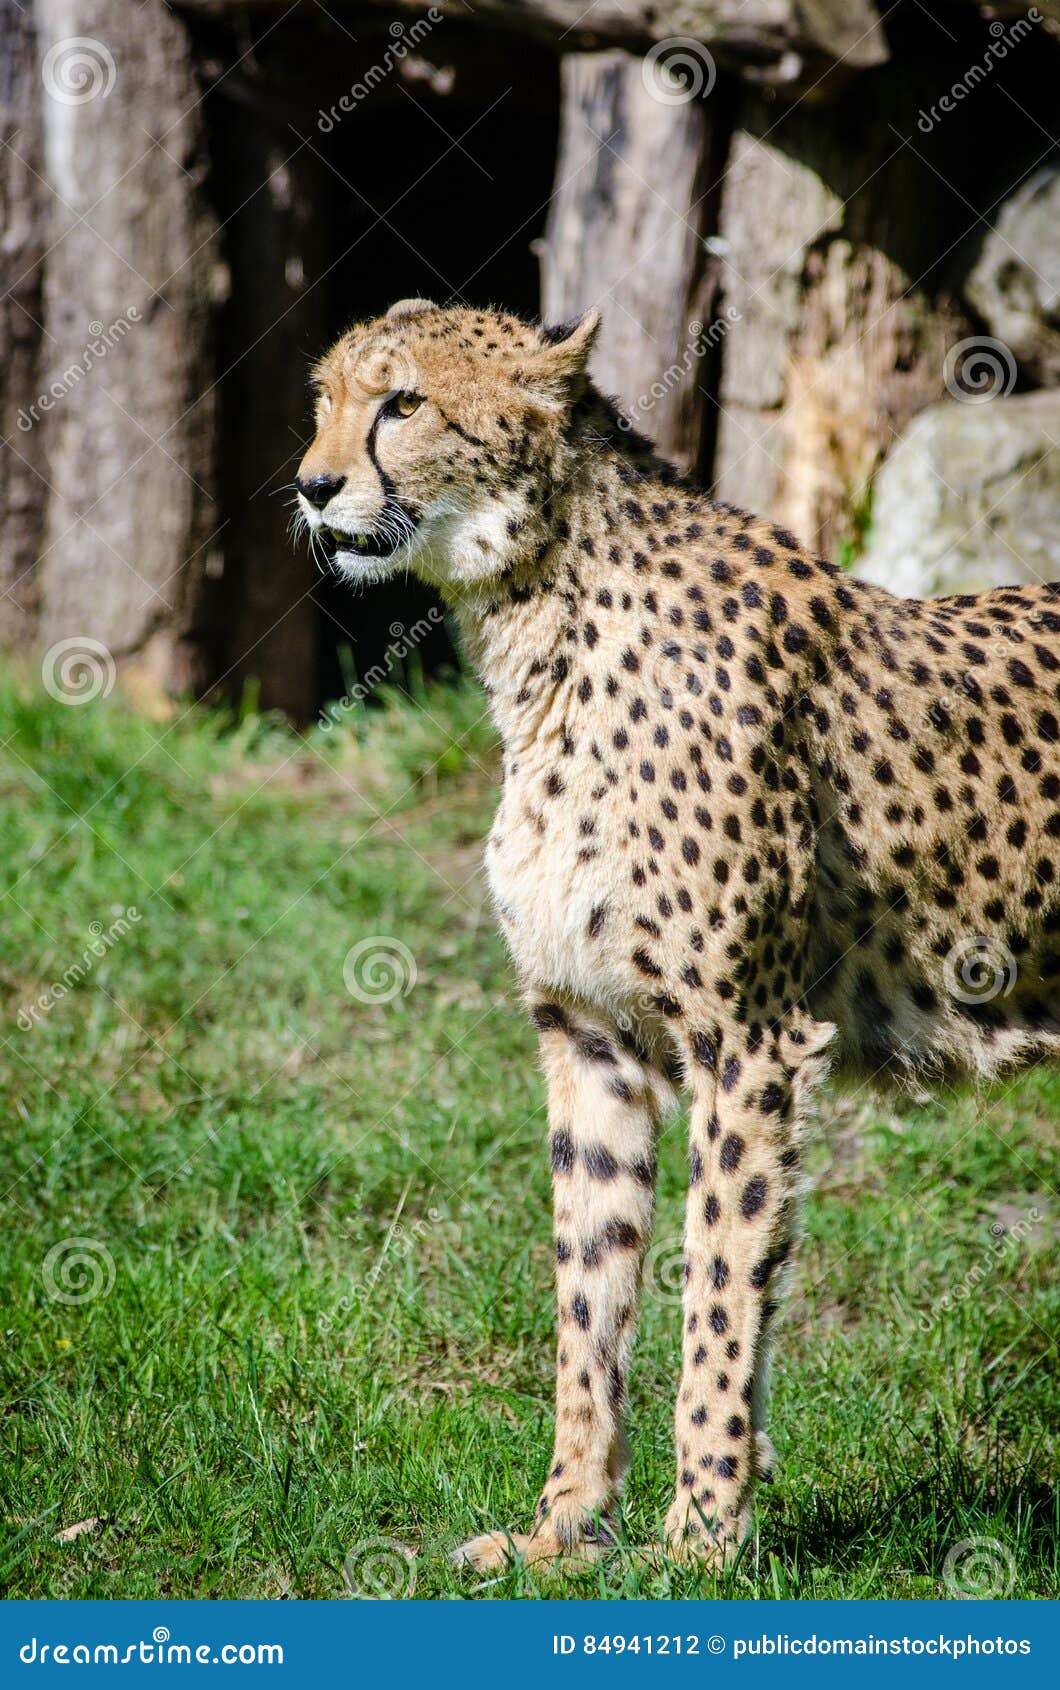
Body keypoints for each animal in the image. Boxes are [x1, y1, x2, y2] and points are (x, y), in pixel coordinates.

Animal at [295, 298, 1060, 1571]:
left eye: (401, 403)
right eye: (324, 400)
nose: (310, 485)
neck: (540, 618)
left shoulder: (745, 1037)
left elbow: (717, 1282)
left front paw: (701, 1535)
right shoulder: (586, 1033)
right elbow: (588, 1287)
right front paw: (564, 1525)